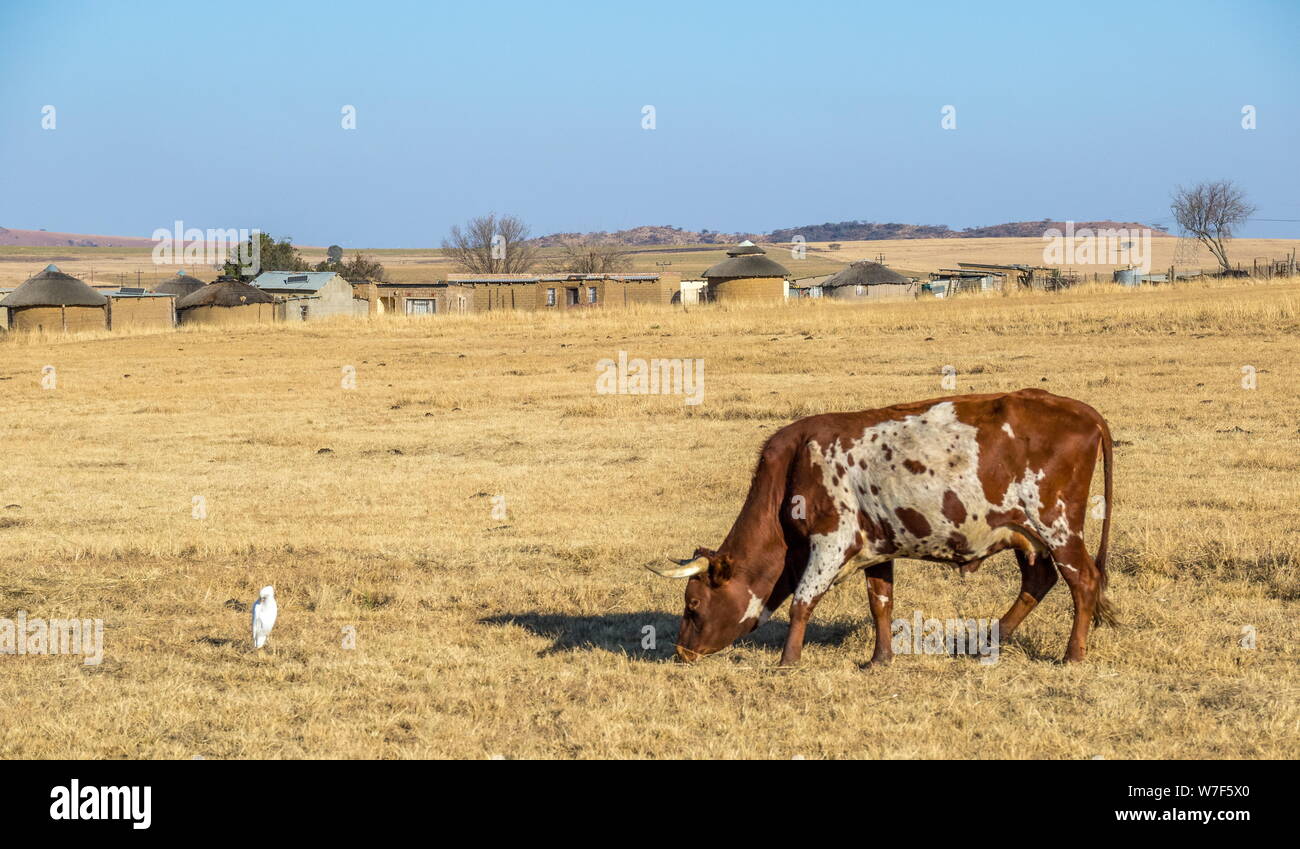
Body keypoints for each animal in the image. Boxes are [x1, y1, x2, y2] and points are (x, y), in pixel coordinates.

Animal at [647, 389, 1117, 666]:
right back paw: (987, 643)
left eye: (693, 604)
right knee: (1039, 581)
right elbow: (881, 604)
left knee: (1083, 581)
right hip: (1026, 535)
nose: (681, 652)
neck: (793, 466)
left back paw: (1072, 655)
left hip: (1056, 526)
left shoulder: (830, 541)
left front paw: (787, 661)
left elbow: (803, 601)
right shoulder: (877, 547)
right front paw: (880, 659)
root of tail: (1082, 412)